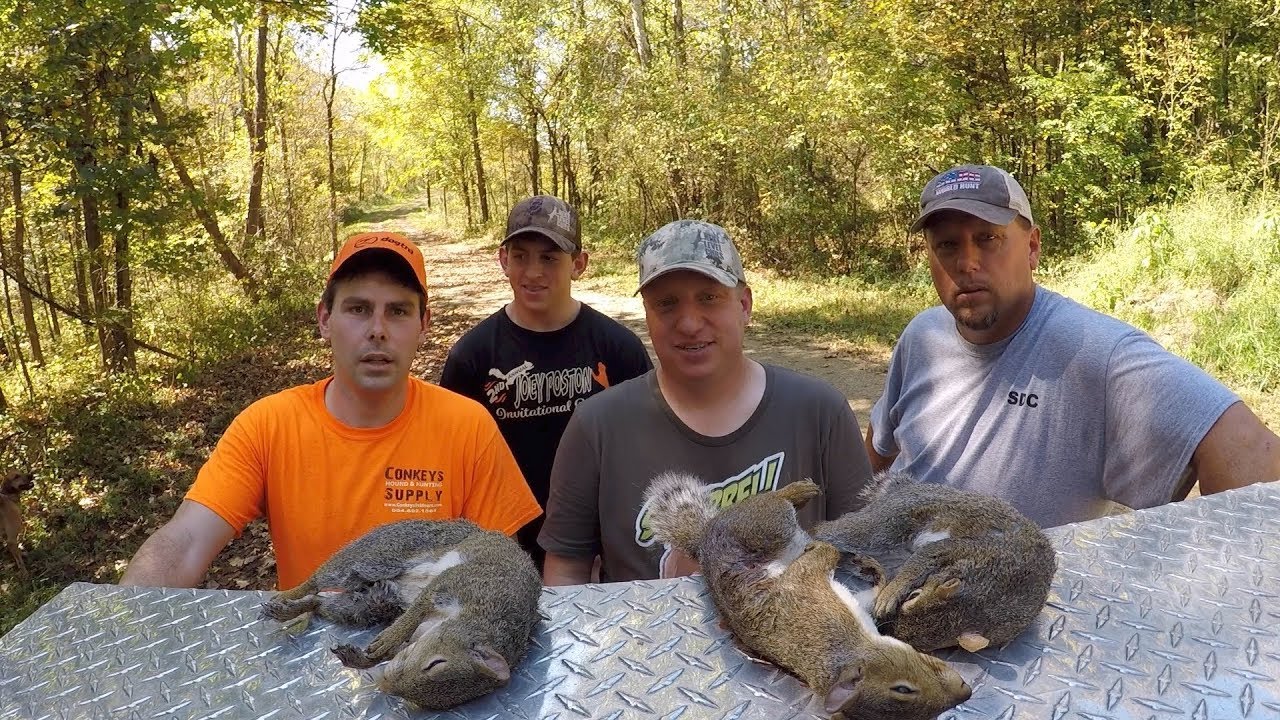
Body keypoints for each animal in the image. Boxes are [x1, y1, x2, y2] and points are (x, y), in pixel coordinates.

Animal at [261, 519, 541, 711]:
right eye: (435, 663)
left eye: (434, 703)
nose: (386, 683)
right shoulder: (457, 584)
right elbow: (412, 615)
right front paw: (388, 638)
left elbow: (390, 652)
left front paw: (362, 659)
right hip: (374, 557)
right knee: (317, 581)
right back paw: (286, 597)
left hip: (366, 604)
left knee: (319, 603)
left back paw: (291, 609)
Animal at [644, 473, 972, 720]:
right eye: (903, 689)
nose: (965, 691)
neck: (844, 650)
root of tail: (705, 536)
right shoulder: (809, 593)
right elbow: (818, 558)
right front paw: (824, 548)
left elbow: (873, 592)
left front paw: (875, 571)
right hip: (764, 526)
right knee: (776, 503)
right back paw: (800, 492)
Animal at [812, 470, 1057, 654]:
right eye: (913, 595)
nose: (885, 629)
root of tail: (903, 488)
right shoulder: (976, 547)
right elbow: (927, 555)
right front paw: (893, 591)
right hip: (887, 522)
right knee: (828, 530)